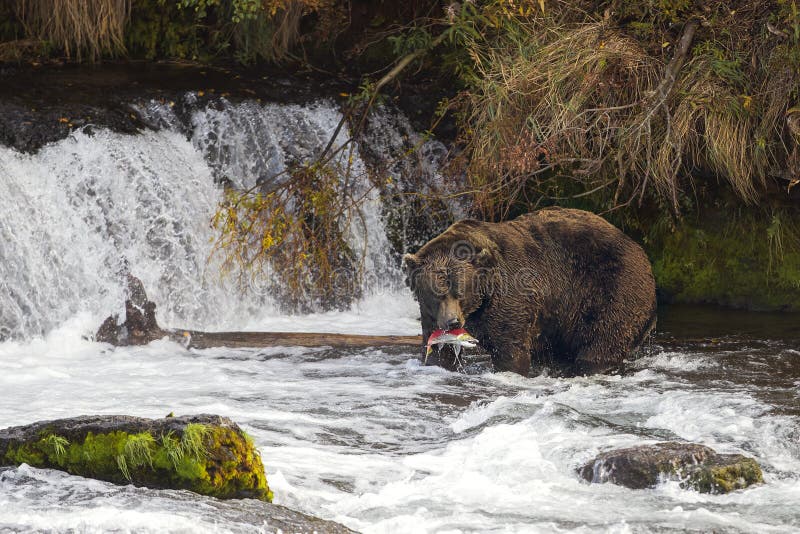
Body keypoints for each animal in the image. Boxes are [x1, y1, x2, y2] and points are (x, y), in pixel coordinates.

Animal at [403, 207, 657, 376]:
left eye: (460, 293)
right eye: (437, 294)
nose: (453, 322)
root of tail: (642, 254)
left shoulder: (511, 295)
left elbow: (510, 349)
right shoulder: (431, 315)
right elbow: (439, 350)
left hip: (612, 288)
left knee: (603, 340)